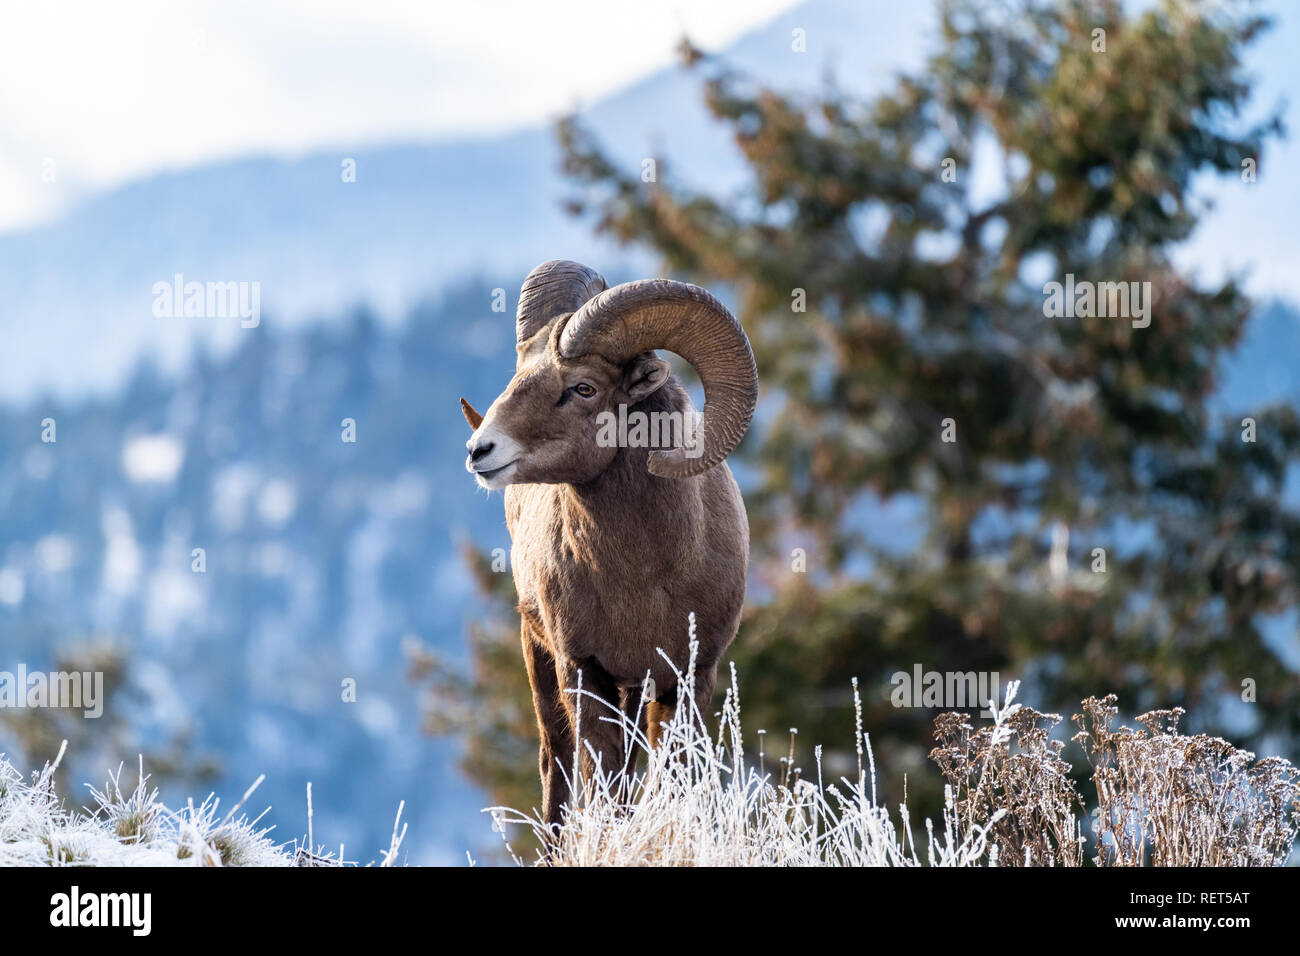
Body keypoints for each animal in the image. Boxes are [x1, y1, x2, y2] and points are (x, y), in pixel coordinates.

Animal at [460, 259, 757, 828]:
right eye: (520, 372)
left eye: (583, 388)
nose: (480, 450)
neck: (643, 578)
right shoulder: (583, 670)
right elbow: (604, 783)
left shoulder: (688, 678)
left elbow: (667, 781)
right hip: (540, 658)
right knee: (555, 762)